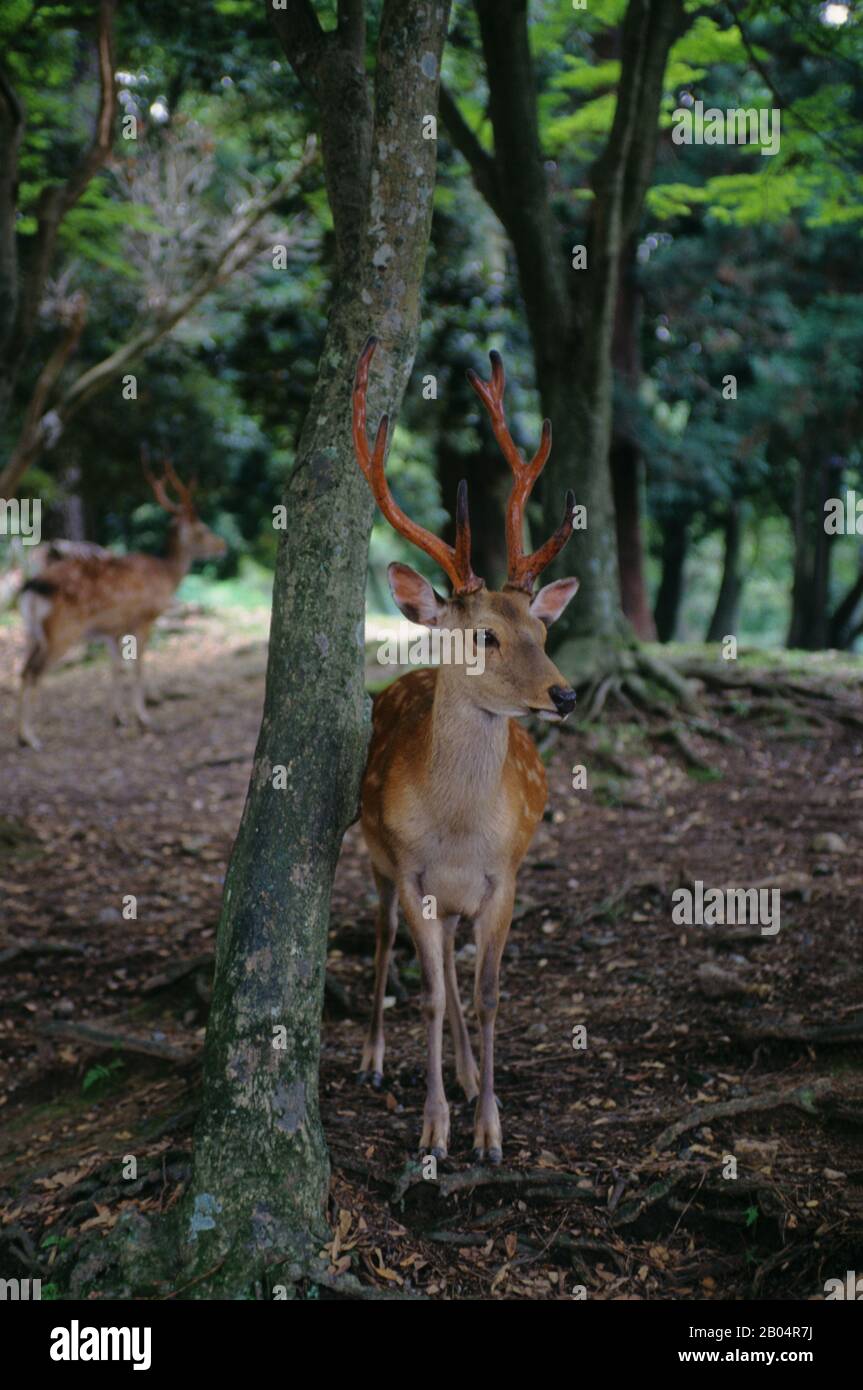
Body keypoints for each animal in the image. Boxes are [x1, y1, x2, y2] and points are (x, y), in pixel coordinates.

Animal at [16, 460, 226, 750]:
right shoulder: (144, 618)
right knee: (34, 672)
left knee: (22, 670)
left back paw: (20, 735)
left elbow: (116, 667)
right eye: (202, 529)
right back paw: (31, 737)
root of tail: (32, 586)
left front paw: (119, 719)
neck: (166, 575)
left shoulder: (112, 630)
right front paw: (144, 718)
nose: (223, 545)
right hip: (62, 631)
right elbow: (138, 667)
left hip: (31, 633)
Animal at [353, 337, 579, 1164]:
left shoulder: (503, 876)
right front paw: (434, 1129)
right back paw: (376, 1061)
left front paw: (489, 1127)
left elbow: (483, 998)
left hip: (457, 901)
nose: (563, 695)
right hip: (378, 863)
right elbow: (426, 996)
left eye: (541, 628)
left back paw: (461, 1072)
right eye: (484, 634)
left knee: (453, 970)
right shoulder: (413, 870)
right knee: (386, 942)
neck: (455, 829)